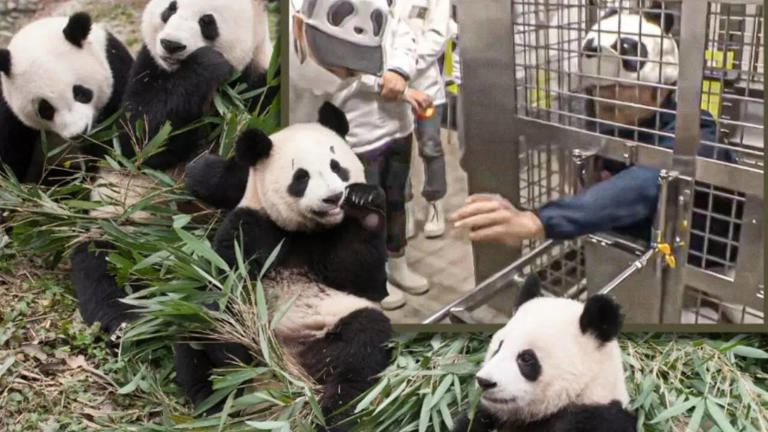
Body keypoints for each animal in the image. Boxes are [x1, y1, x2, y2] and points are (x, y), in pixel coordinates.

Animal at [176, 102, 391, 429]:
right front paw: (235, 349)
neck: (306, 231)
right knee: (192, 334)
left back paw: (332, 411)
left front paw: (363, 202)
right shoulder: (252, 225)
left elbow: (367, 280)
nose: (333, 198)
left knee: (362, 345)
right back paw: (217, 400)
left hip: (330, 328)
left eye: (336, 166)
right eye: (301, 177)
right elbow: (224, 286)